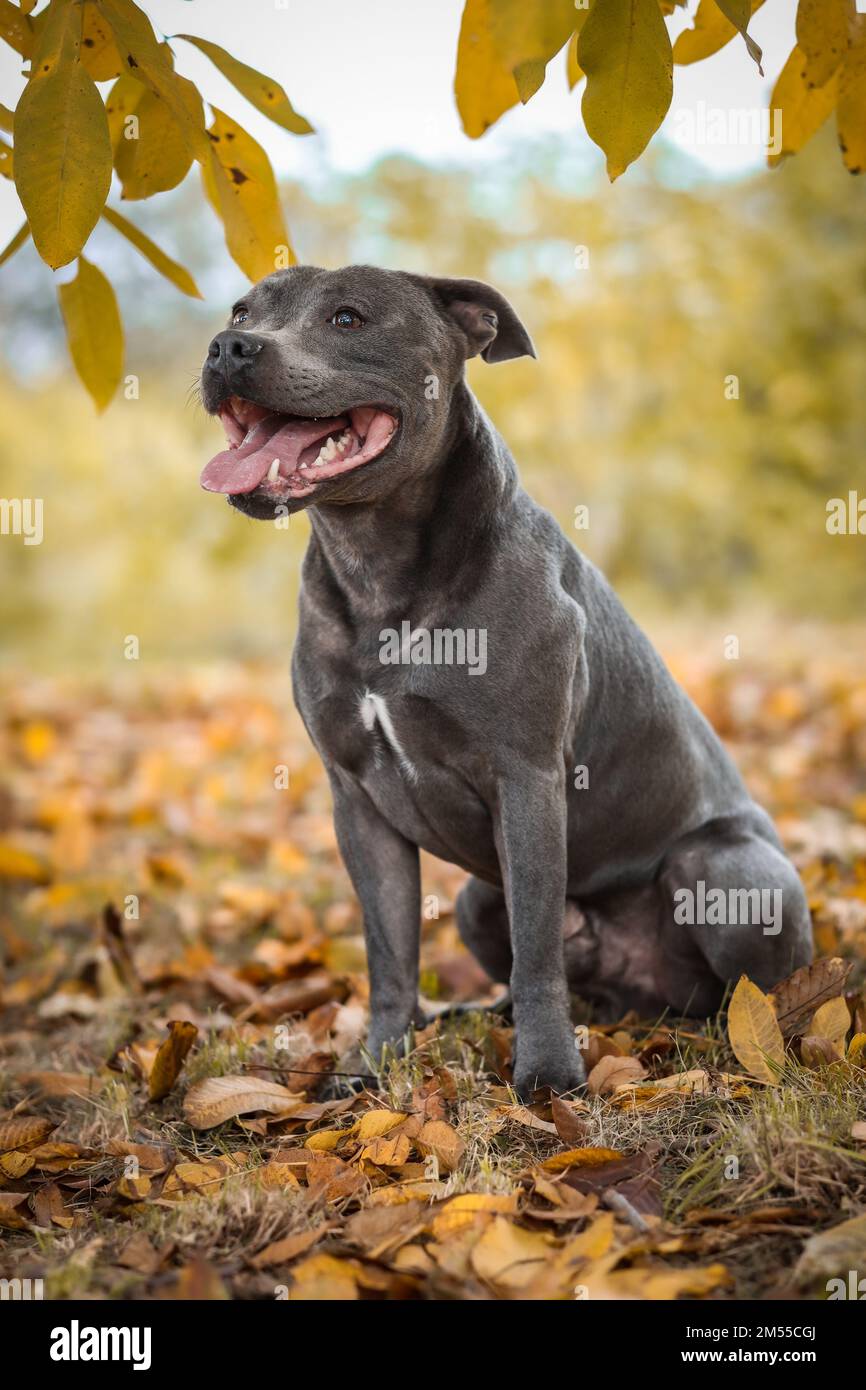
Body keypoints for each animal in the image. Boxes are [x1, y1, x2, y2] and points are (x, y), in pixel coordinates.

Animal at [200, 265, 817, 1100]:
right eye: (242, 311)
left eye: (348, 318)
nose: (229, 346)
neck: (377, 570)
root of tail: (645, 1001)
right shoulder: (359, 803)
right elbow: (390, 955)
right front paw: (376, 1065)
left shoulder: (526, 780)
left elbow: (537, 949)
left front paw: (549, 1075)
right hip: (473, 898)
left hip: (726, 874)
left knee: (756, 991)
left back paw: (750, 1049)